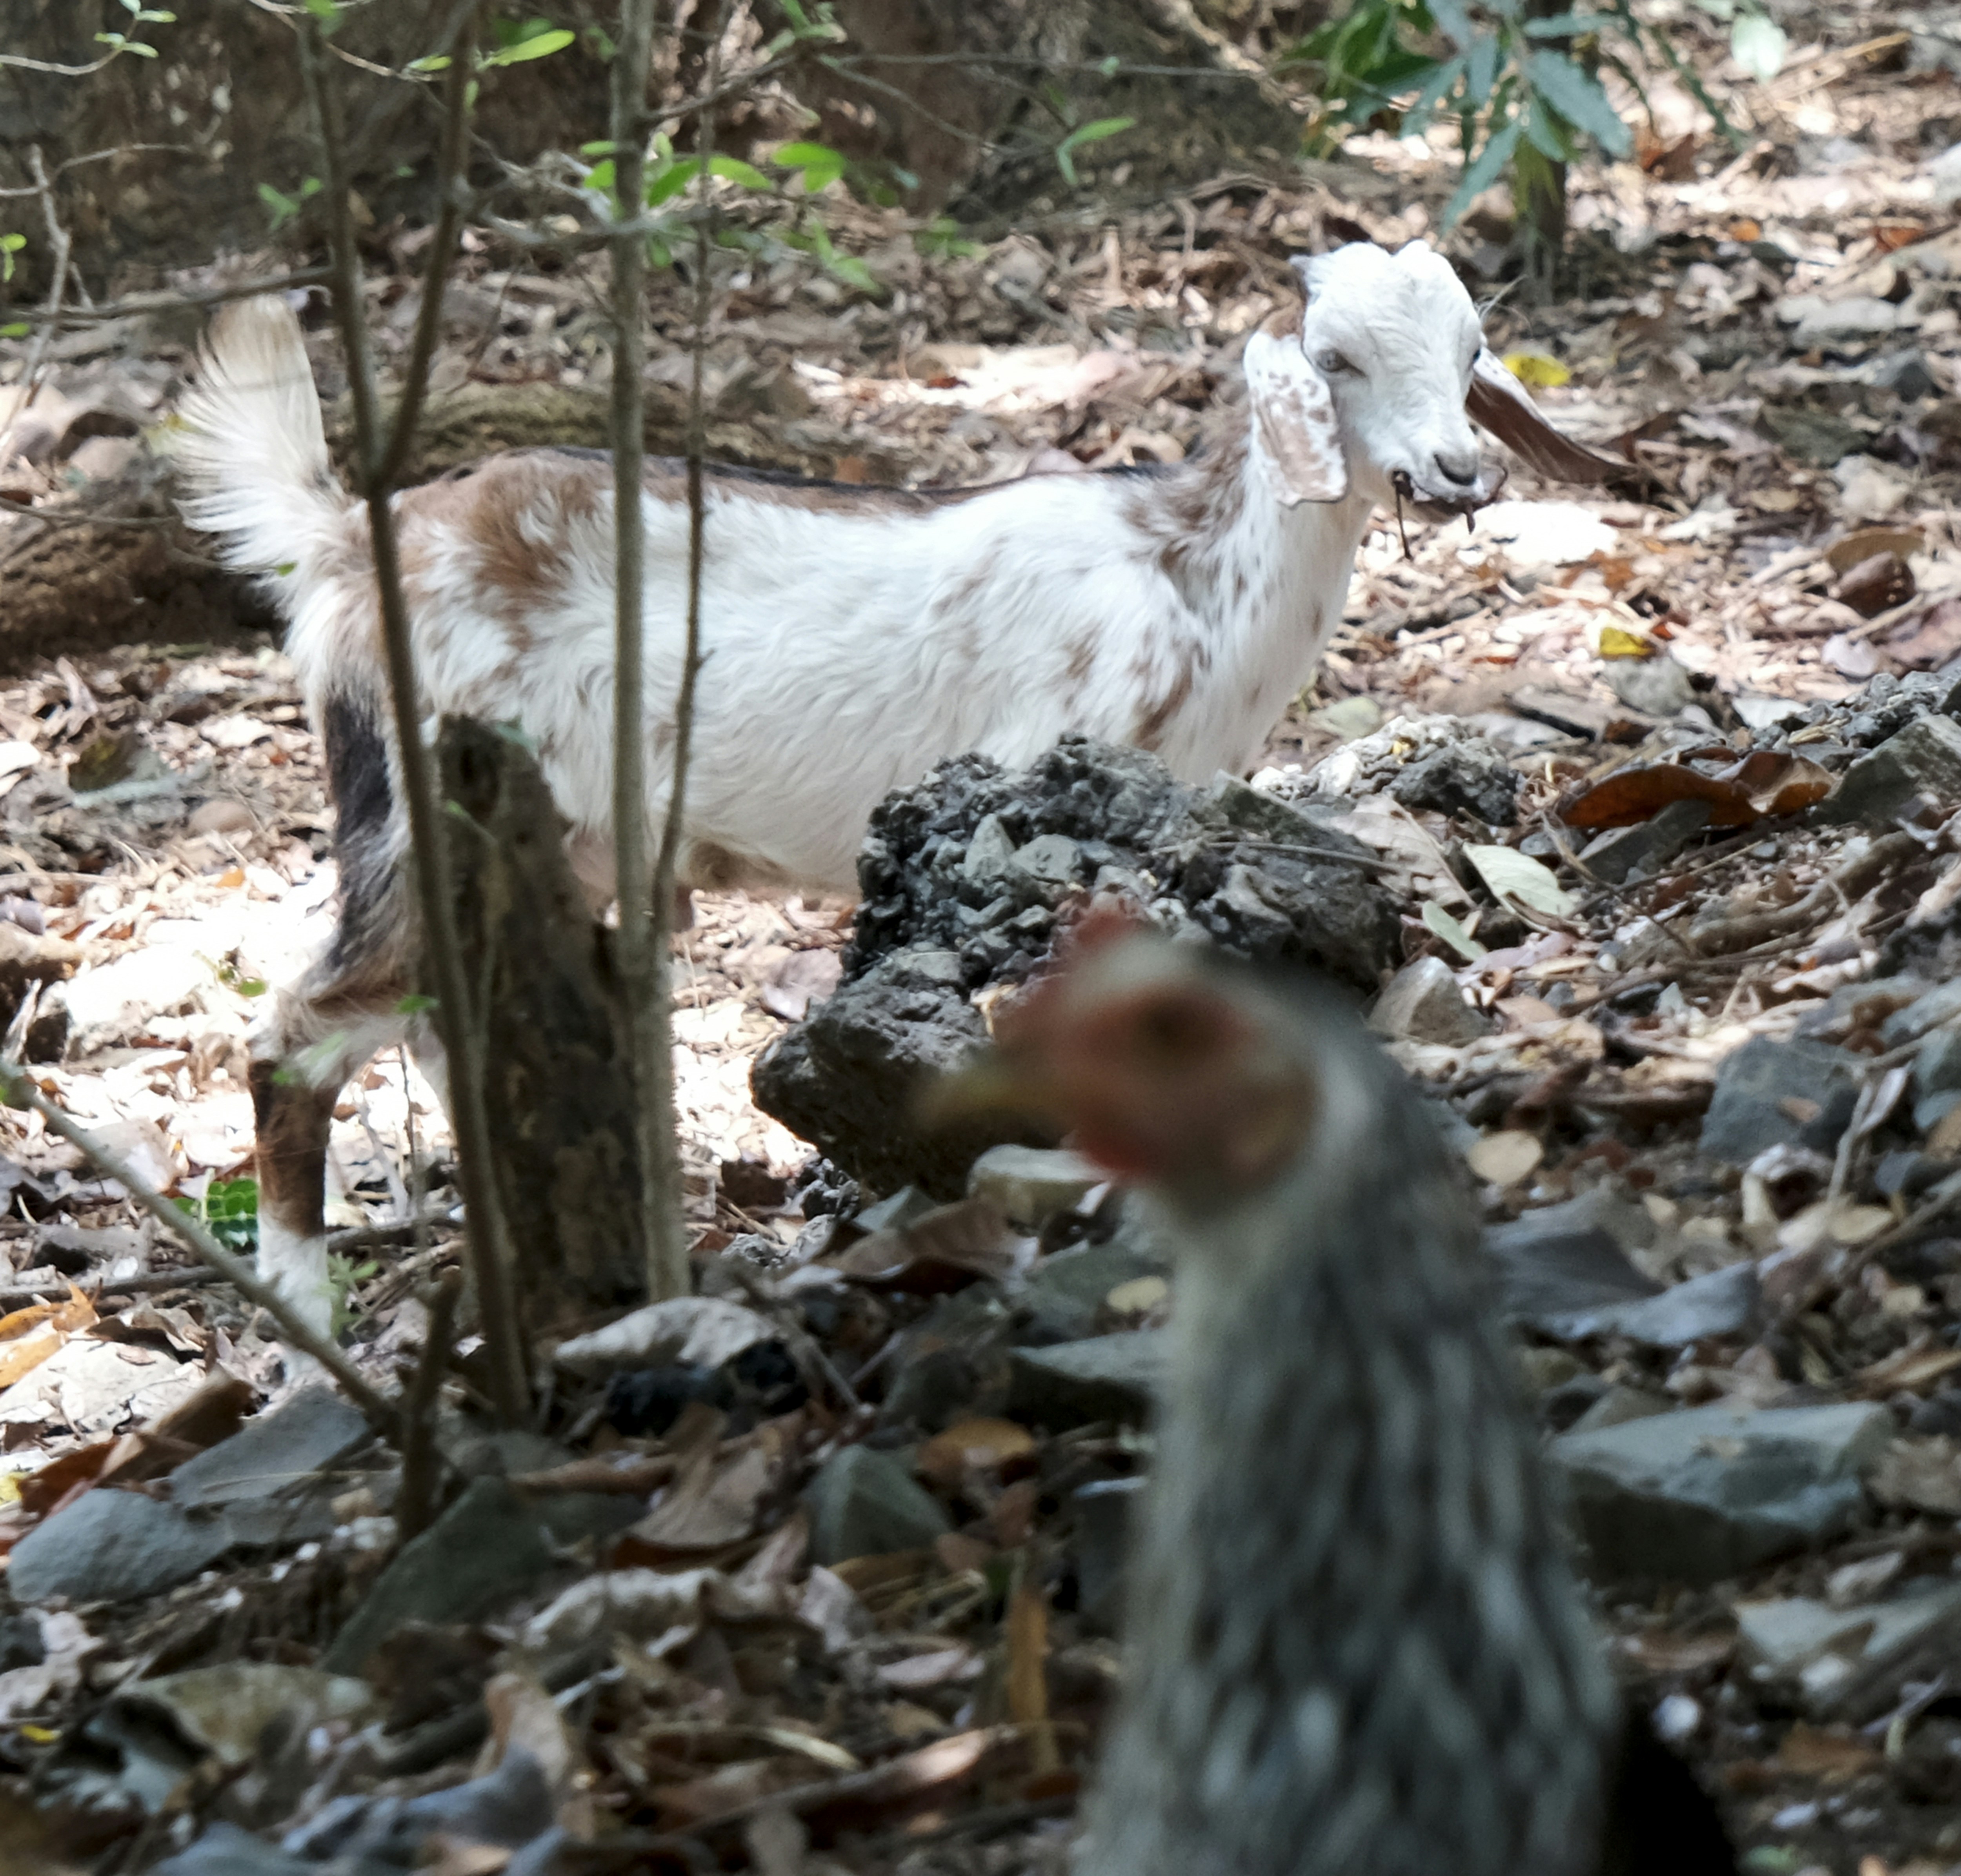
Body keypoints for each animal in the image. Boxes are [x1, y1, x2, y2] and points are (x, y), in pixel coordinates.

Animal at [176, 237, 1615, 1336]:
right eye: (1339, 359)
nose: (1460, 472)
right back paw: (307, 1336)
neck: (1189, 580)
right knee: (293, 1036)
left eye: (1472, 350)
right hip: (421, 806)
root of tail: (341, 547)